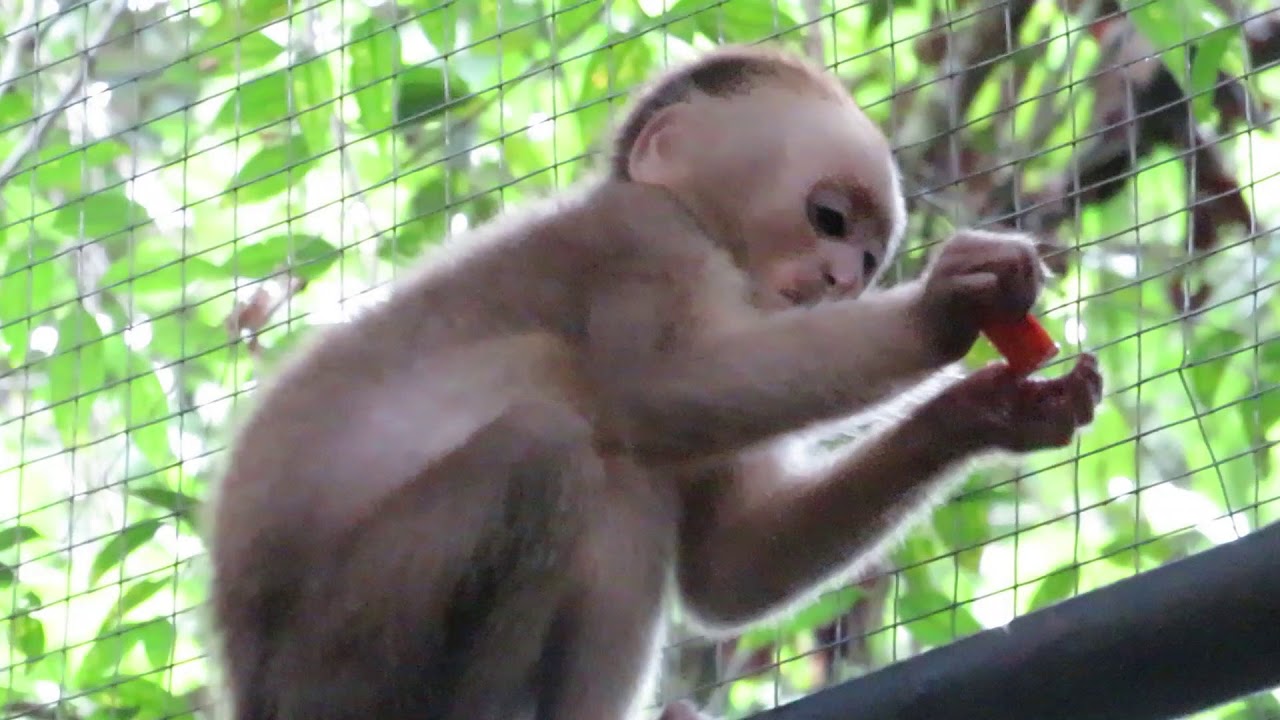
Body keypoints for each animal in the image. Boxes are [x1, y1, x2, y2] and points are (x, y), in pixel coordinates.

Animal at [207, 44, 1103, 720]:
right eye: (830, 221)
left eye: (865, 258)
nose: (842, 280)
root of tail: (251, 690)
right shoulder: (647, 239)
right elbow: (659, 392)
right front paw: (942, 312)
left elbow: (731, 568)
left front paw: (987, 413)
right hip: (338, 659)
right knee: (557, 449)